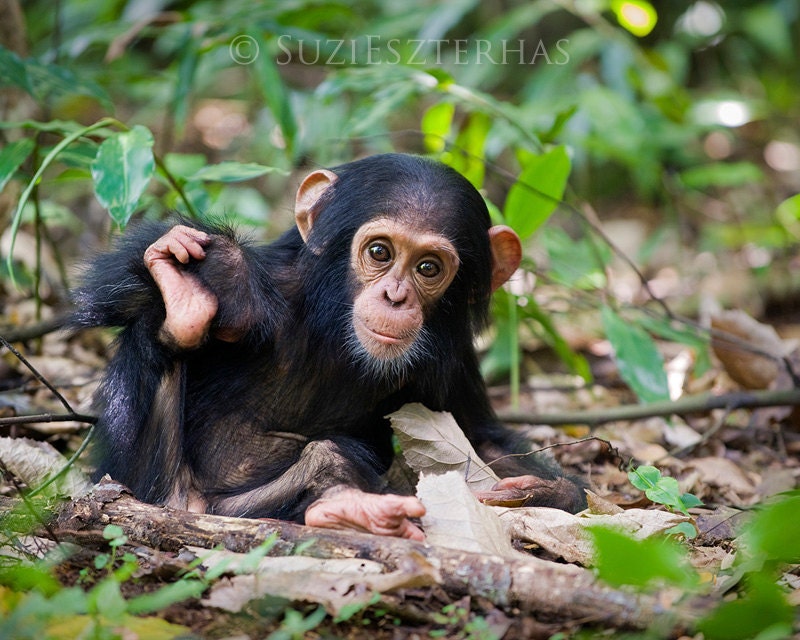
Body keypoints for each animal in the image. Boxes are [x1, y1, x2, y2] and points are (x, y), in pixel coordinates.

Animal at [72, 153, 586, 540]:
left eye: (428, 268)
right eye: (379, 252)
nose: (395, 296)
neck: (335, 331)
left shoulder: (450, 356)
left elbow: (478, 435)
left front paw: (546, 491)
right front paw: (191, 277)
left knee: (327, 460)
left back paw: (350, 509)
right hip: (160, 493)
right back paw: (183, 304)